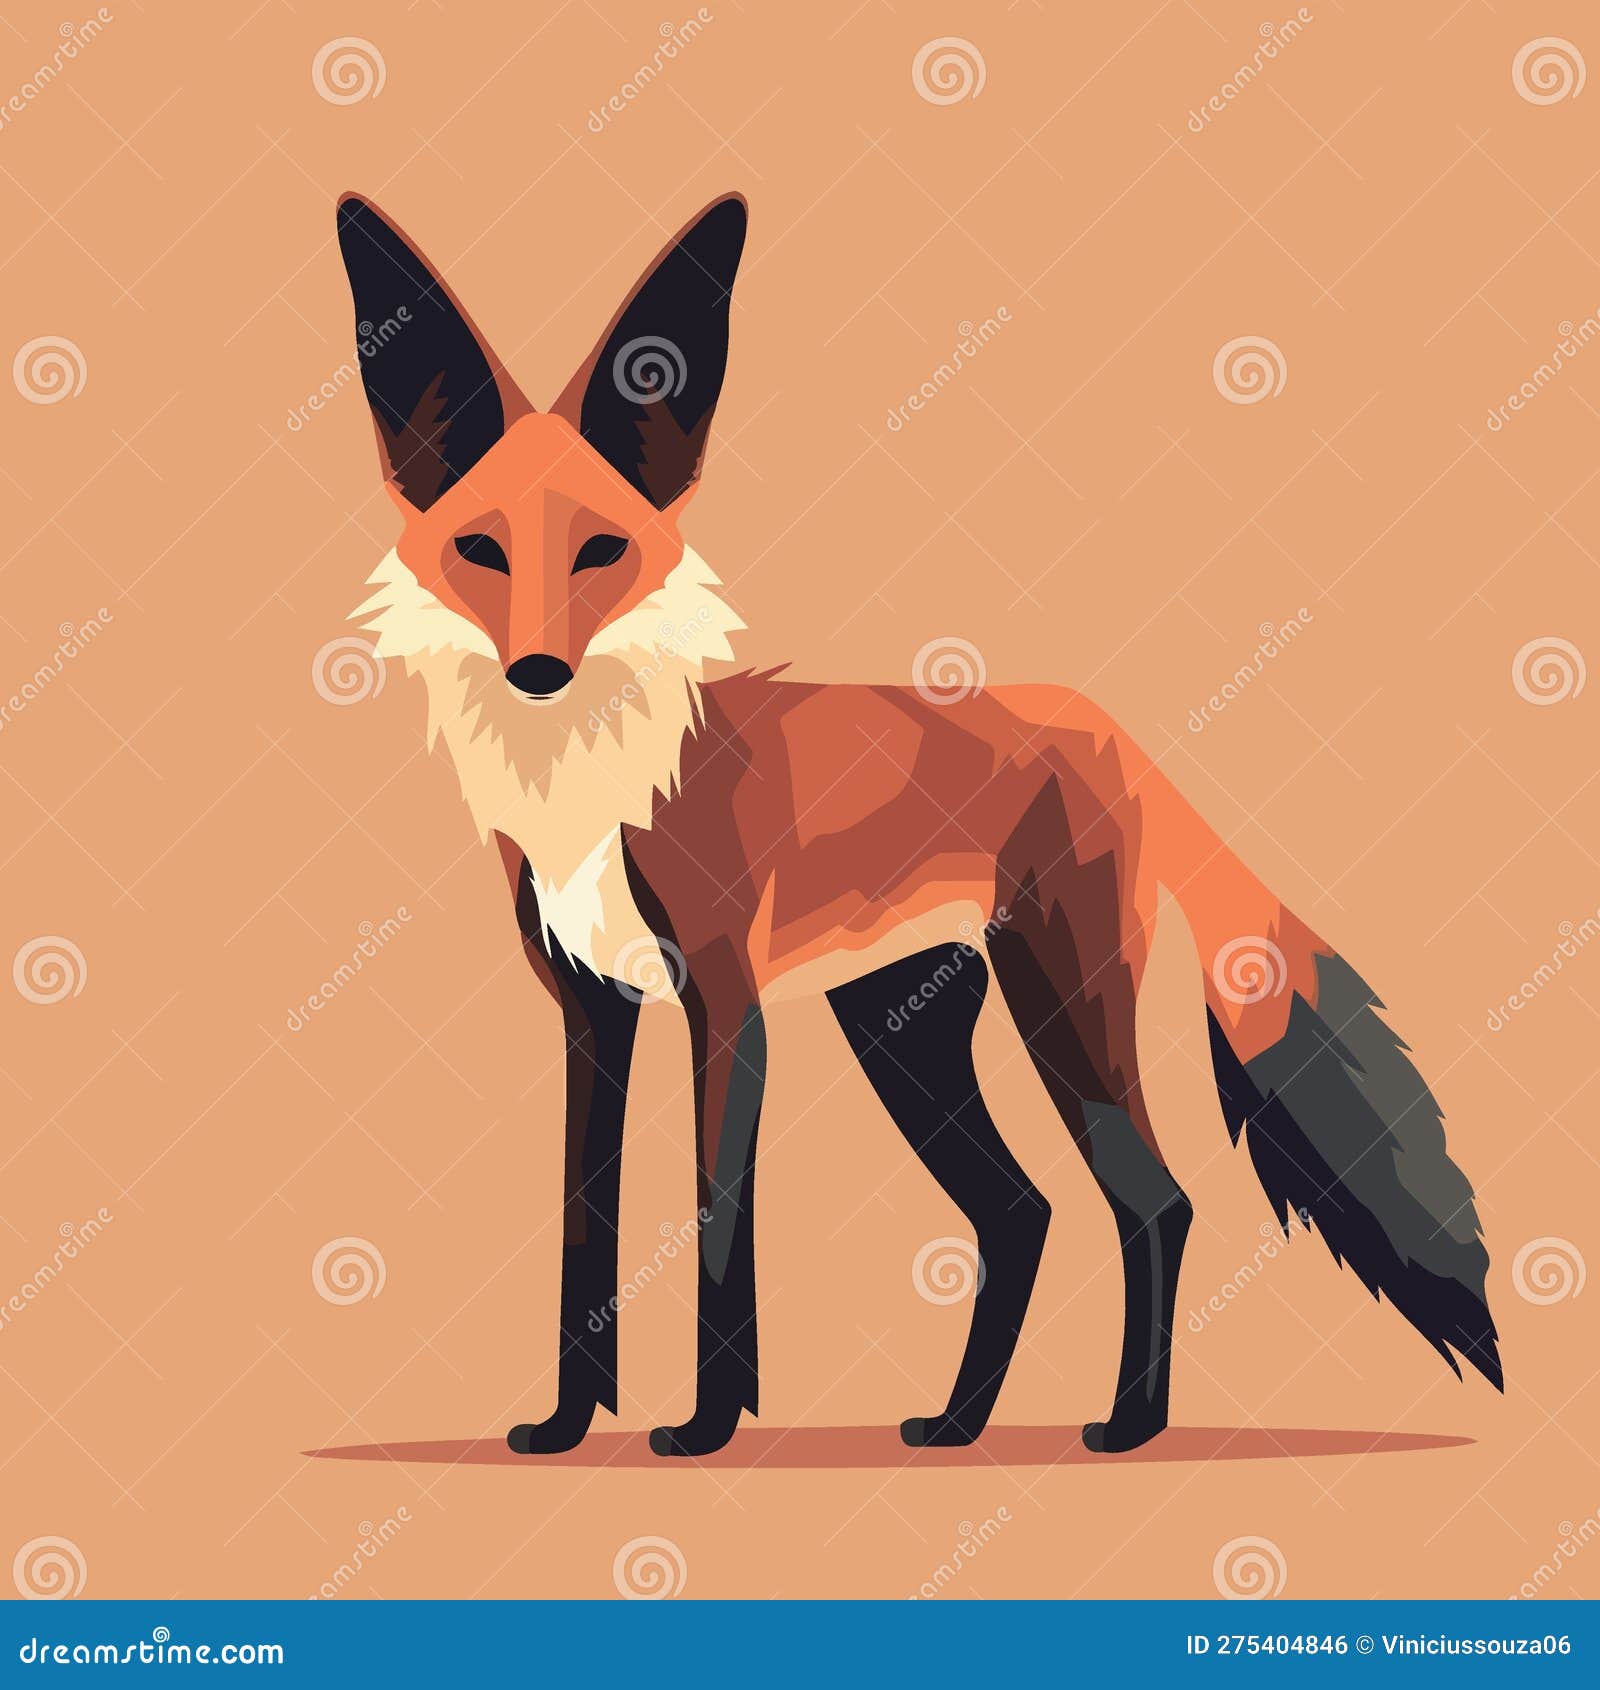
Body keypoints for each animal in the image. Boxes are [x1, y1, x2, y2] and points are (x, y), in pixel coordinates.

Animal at [332, 191, 1500, 1458]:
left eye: (602, 550)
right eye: (480, 551)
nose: (538, 673)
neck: (598, 795)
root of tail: (1105, 722)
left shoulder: (725, 1004)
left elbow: (716, 1223)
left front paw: (708, 1423)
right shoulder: (593, 1013)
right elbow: (584, 1230)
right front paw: (565, 1422)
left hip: (1054, 1005)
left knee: (1157, 1199)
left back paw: (1127, 1423)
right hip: (904, 1034)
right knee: (1023, 1211)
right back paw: (960, 1419)